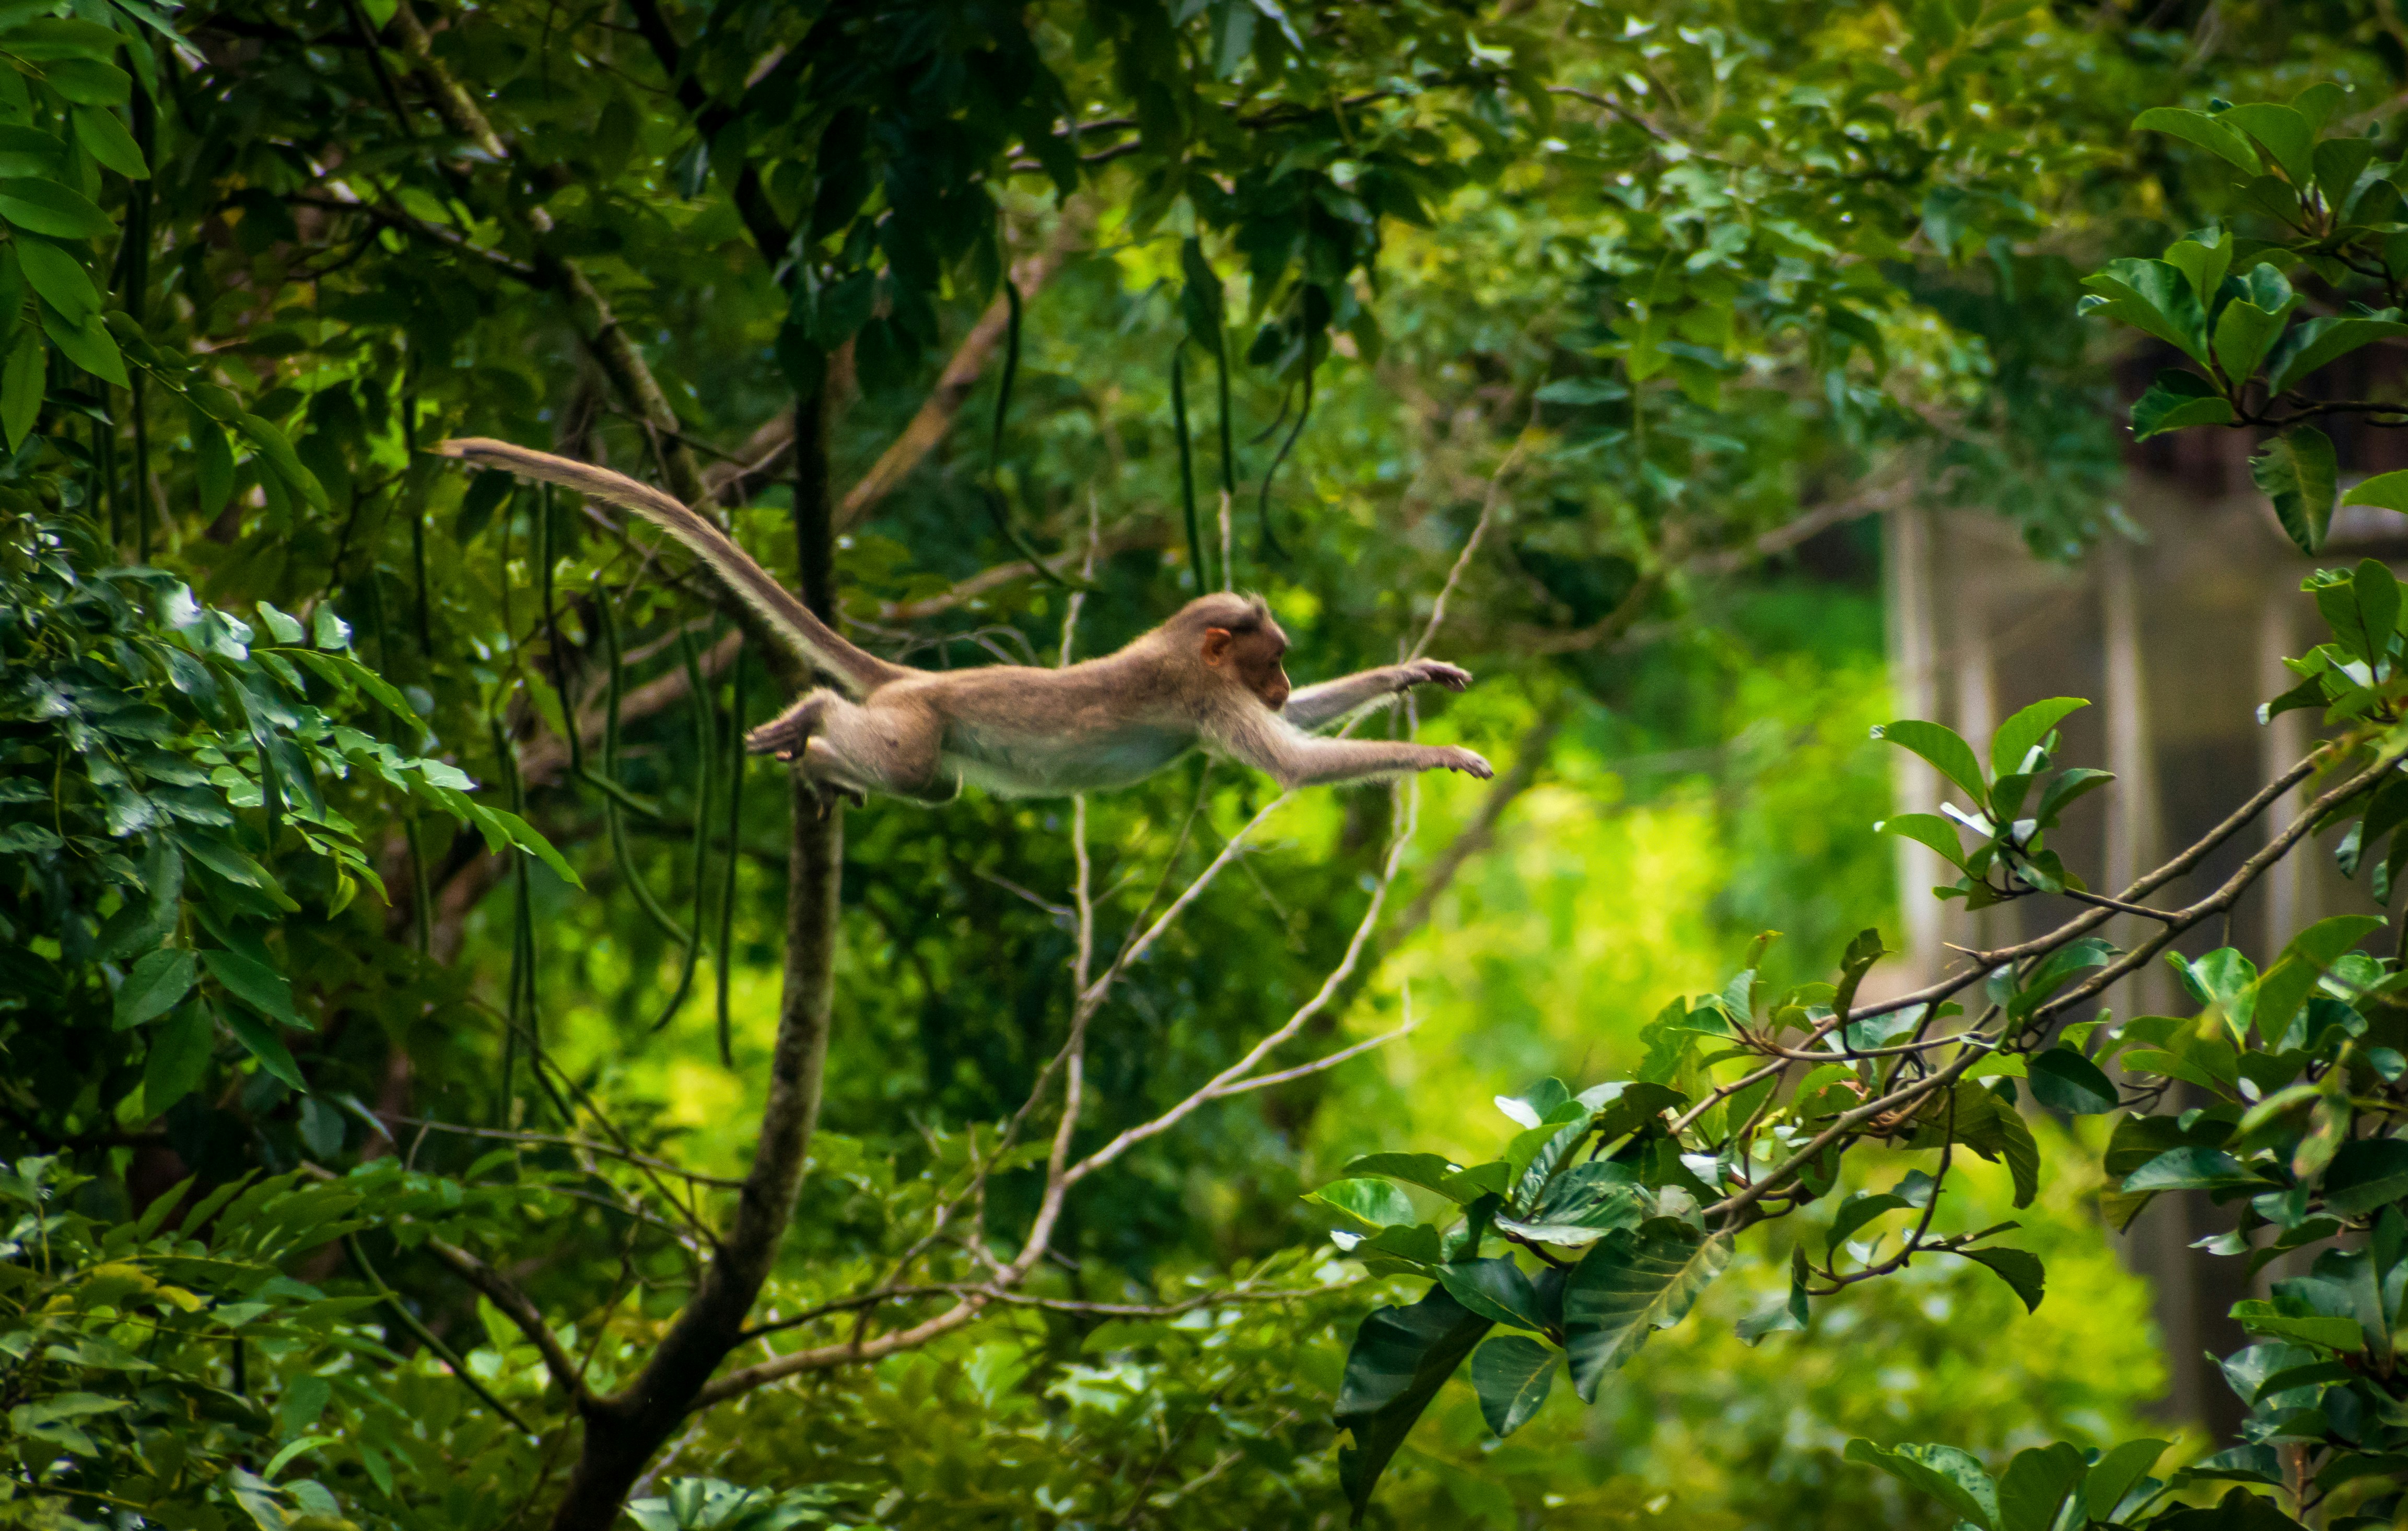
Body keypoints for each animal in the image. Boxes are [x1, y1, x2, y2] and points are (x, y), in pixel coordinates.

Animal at [435, 438, 1493, 805]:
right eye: (1269, 663)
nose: (1279, 682)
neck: (1184, 651)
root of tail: (916, 680)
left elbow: (1303, 736)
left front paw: (1411, 674)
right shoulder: (1204, 699)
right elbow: (1293, 763)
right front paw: (1448, 756)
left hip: (920, 733)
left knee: (930, 787)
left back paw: (818, 760)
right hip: (916, 723)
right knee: (904, 763)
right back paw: (814, 716)